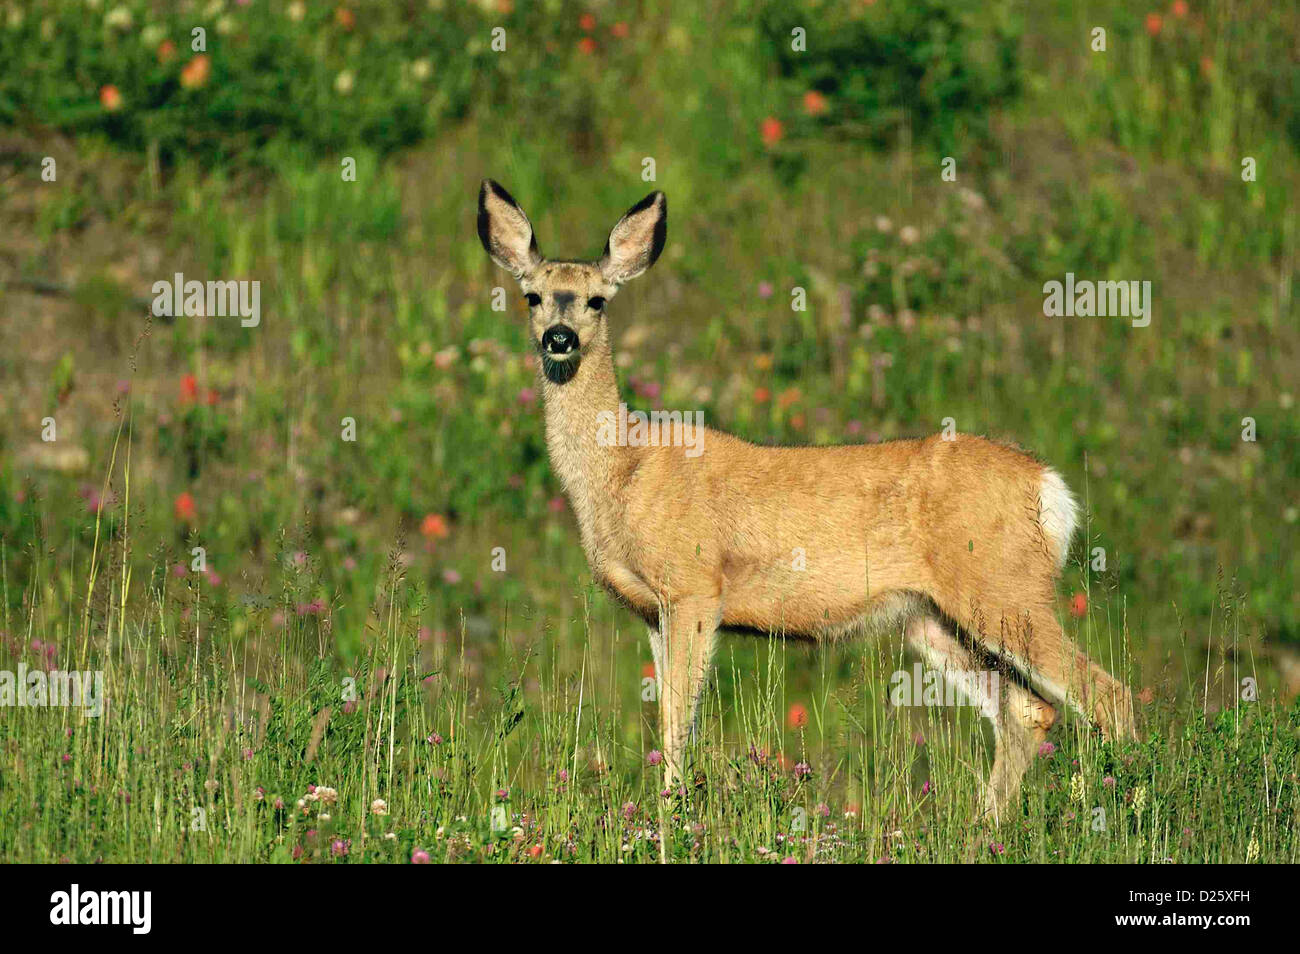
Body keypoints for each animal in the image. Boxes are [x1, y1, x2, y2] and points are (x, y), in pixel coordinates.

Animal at [477, 179, 1136, 820]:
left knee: (1110, 695)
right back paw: (986, 830)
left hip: (1005, 589)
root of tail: (1050, 488)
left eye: (598, 300)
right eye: (533, 296)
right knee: (1030, 712)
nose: (559, 338)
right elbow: (669, 722)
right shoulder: (650, 609)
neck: (623, 471)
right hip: (932, 619)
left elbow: (678, 724)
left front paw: (672, 821)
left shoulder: (695, 585)